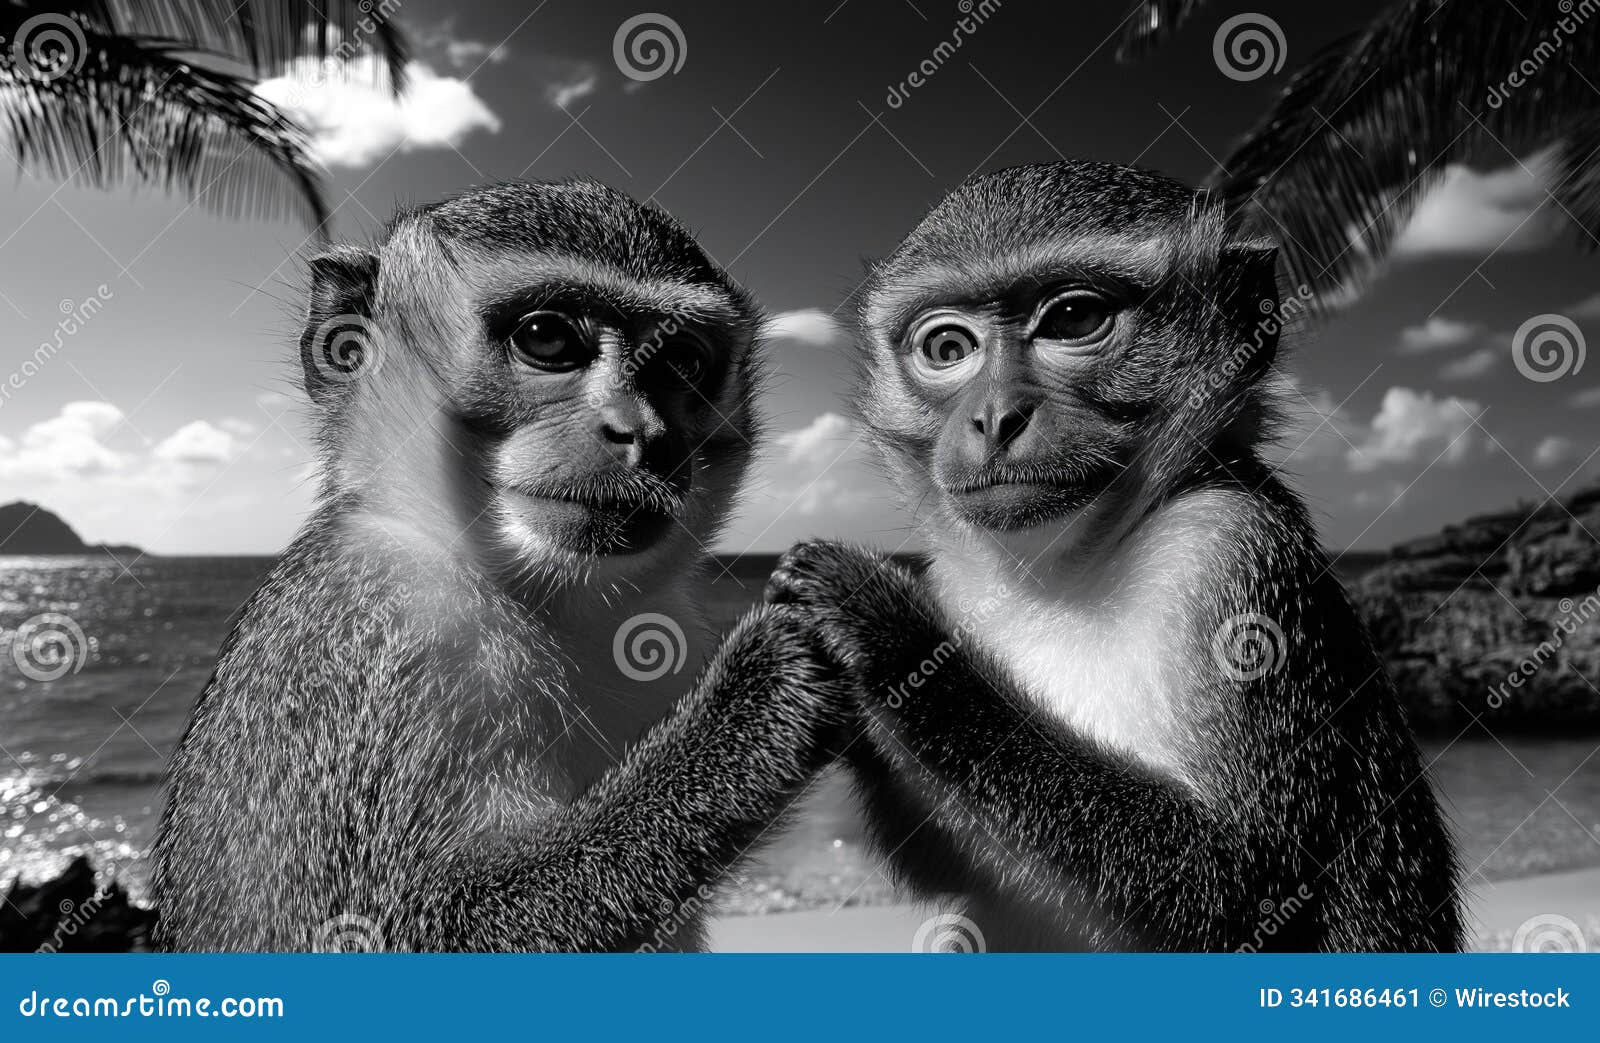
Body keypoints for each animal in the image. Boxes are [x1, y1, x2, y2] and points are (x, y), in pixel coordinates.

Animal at [151, 178, 849, 953]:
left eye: (682, 364)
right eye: (548, 338)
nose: (643, 433)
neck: (526, 590)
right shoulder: (378, 637)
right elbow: (399, 929)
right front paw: (762, 691)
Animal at [767, 160, 1463, 953]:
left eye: (1072, 320)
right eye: (947, 349)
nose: (994, 416)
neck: (1068, 567)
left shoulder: (1231, 548)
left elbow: (1251, 889)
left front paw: (885, 633)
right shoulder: (956, 580)